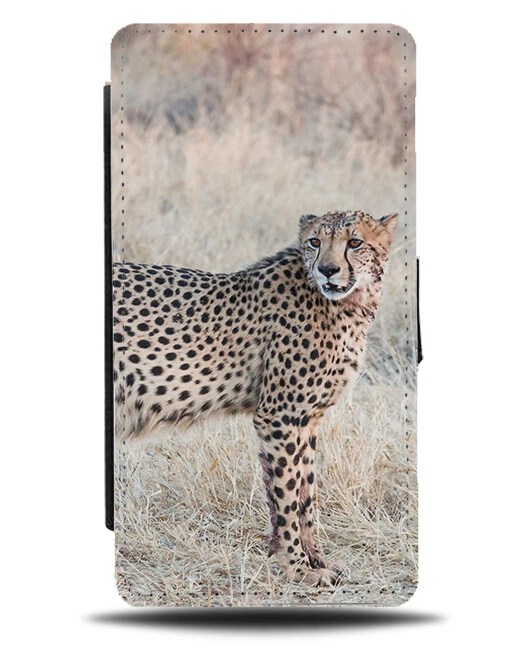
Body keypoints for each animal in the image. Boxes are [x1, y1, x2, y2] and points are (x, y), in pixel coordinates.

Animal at [113, 209, 398, 586]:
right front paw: (296, 567)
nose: (327, 269)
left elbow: (306, 492)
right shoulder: (280, 416)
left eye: (355, 242)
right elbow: (287, 494)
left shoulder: (306, 420)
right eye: (315, 241)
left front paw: (316, 561)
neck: (348, 303)